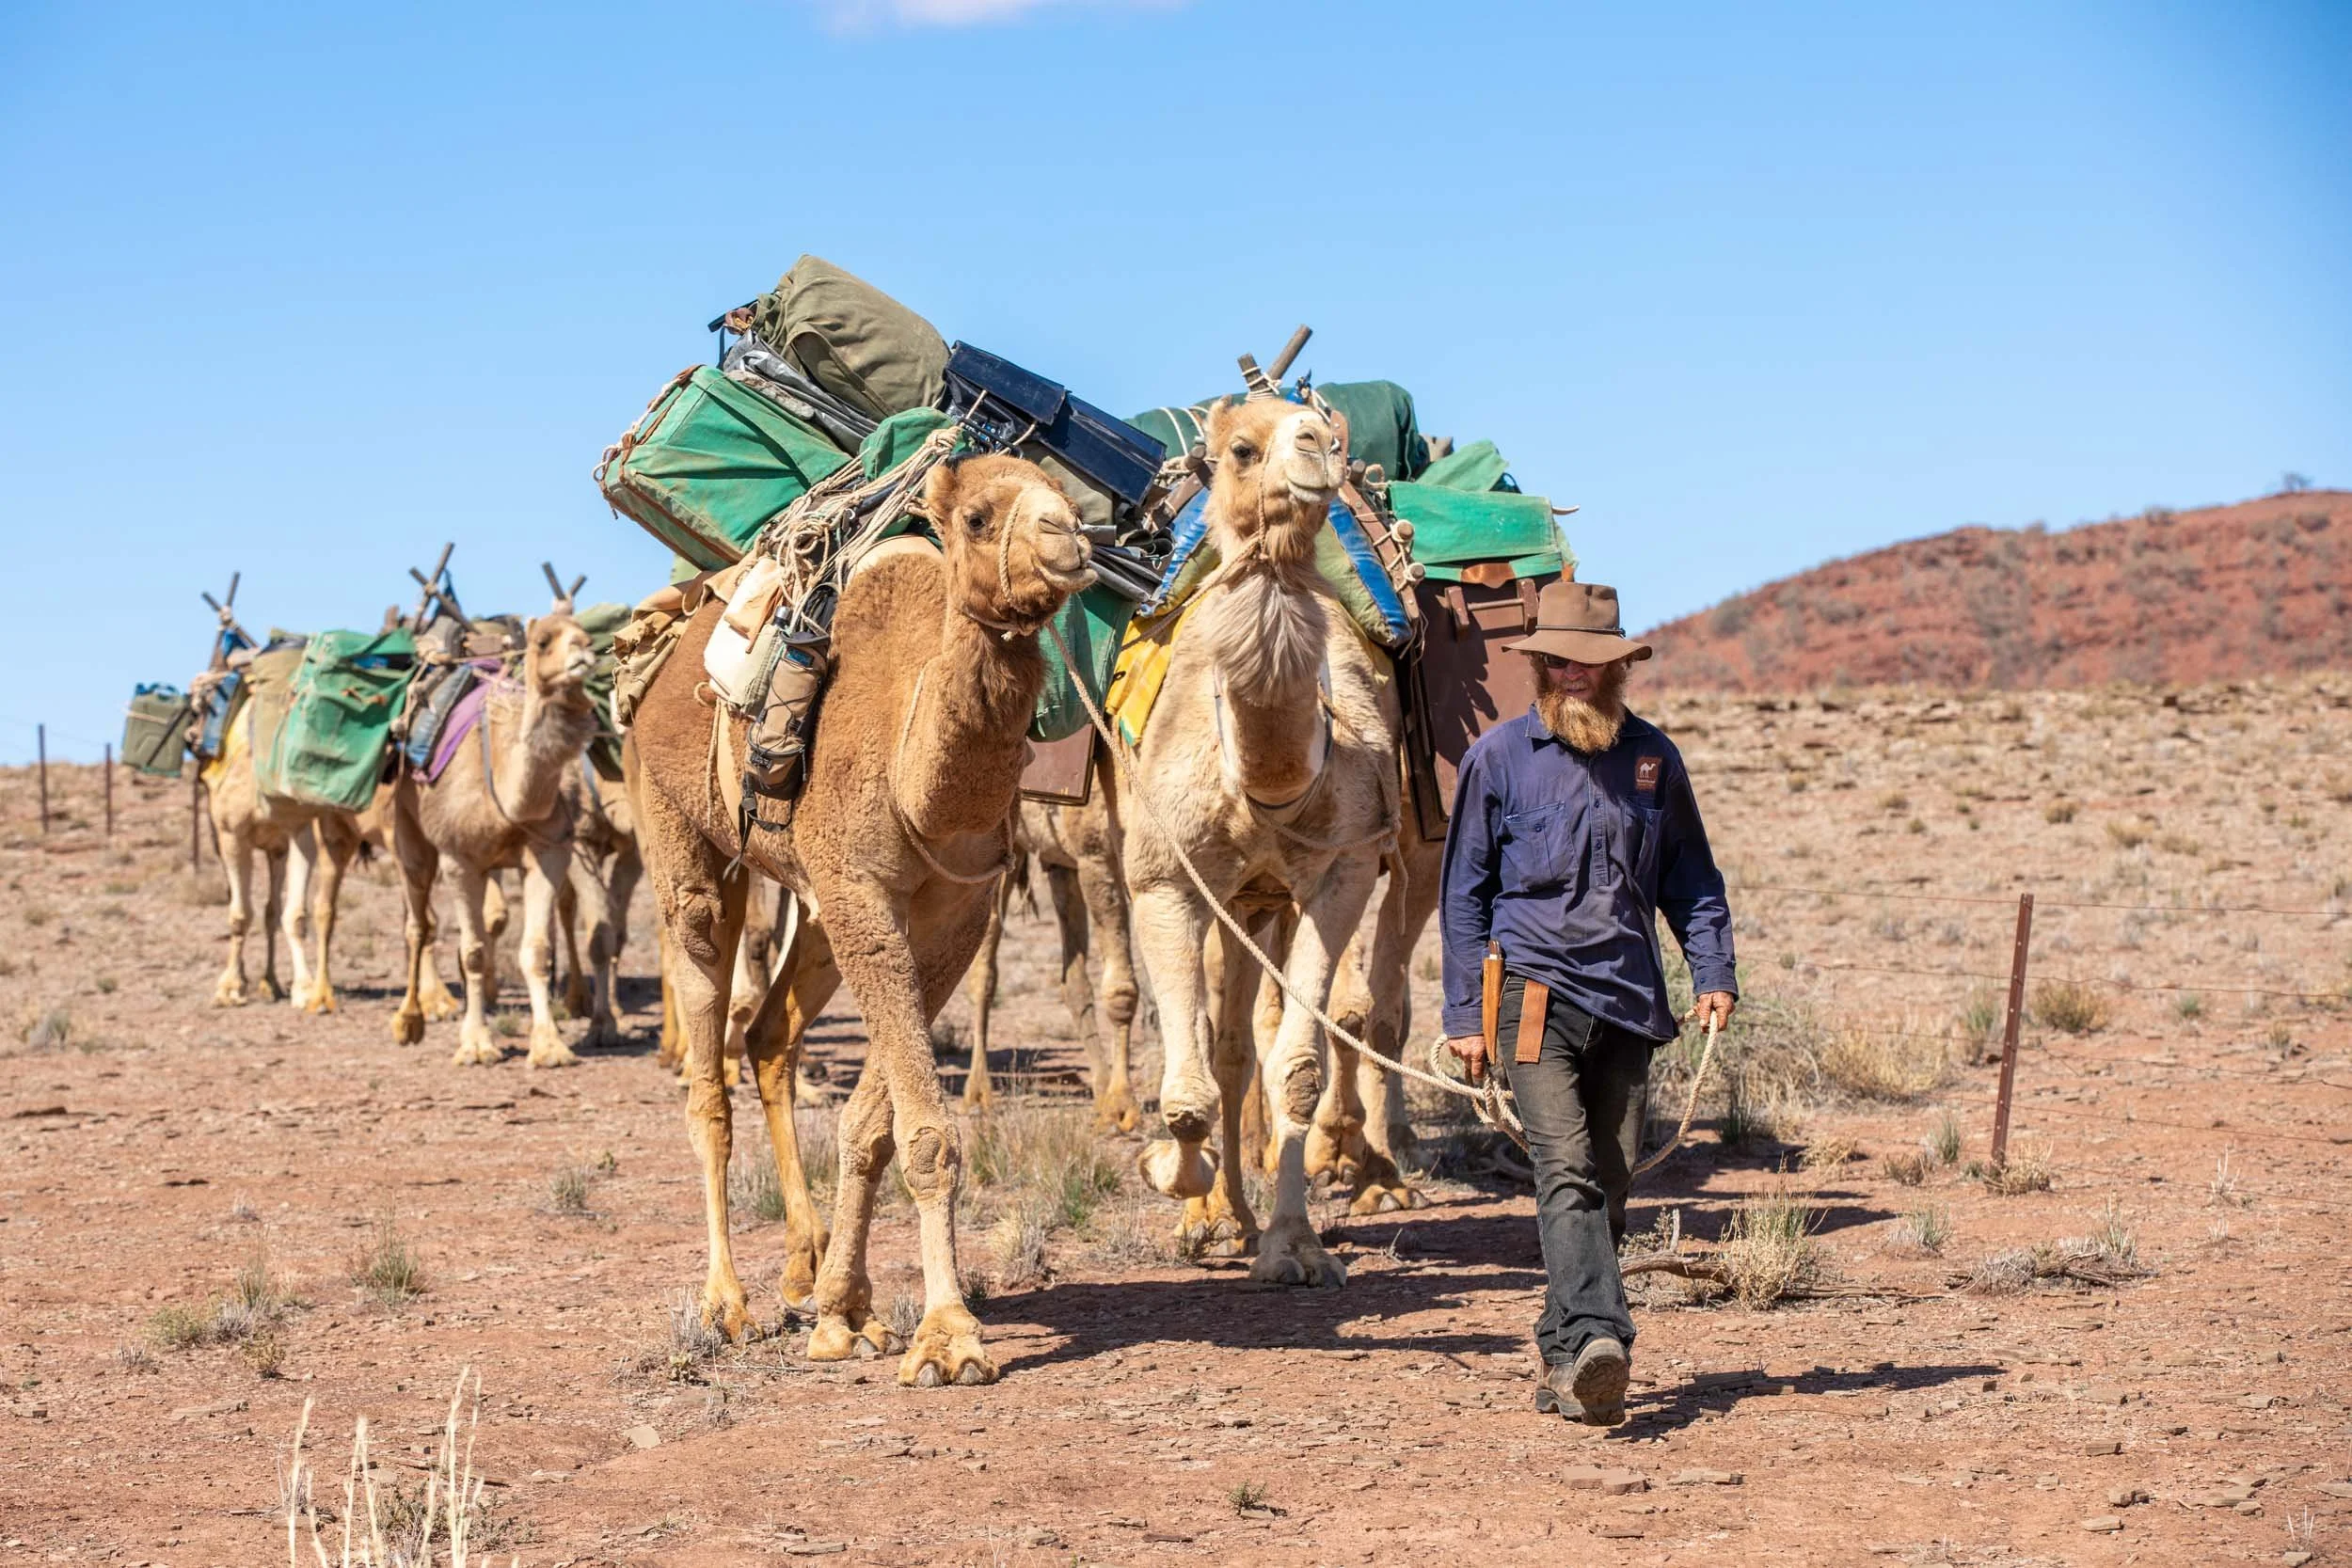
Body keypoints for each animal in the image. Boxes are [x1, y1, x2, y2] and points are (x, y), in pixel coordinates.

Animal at [387, 606, 599, 1068]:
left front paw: (550, 1046)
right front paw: (476, 1045)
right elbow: (473, 952)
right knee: (417, 923)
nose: (582, 654)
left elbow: (536, 950)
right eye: (543, 641)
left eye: (587, 635)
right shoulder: (458, 859)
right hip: (407, 829)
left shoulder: (548, 850)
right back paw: (409, 1021)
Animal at [629, 451, 1091, 1387]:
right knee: (707, 1072)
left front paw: (847, 1311)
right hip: (679, 832)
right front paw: (949, 1337)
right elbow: (926, 1132)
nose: (1070, 540)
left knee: (768, 1031)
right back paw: (725, 1302)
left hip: (814, 908)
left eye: (1069, 497)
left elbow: (878, 1126)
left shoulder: (950, 912)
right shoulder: (862, 893)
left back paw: (801, 1262)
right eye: (979, 516)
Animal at [1123, 395, 1402, 1287]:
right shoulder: (1163, 881)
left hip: (1264, 898)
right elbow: (1186, 1094)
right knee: (1221, 1049)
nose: (1318, 449)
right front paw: (1169, 1173)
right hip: (1225, 897)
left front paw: (1294, 1245)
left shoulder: (1341, 873)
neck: (1272, 781)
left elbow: (1296, 1070)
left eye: (1330, 433)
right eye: (1242, 448)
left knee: (1247, 1047)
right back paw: (1213, 1214)